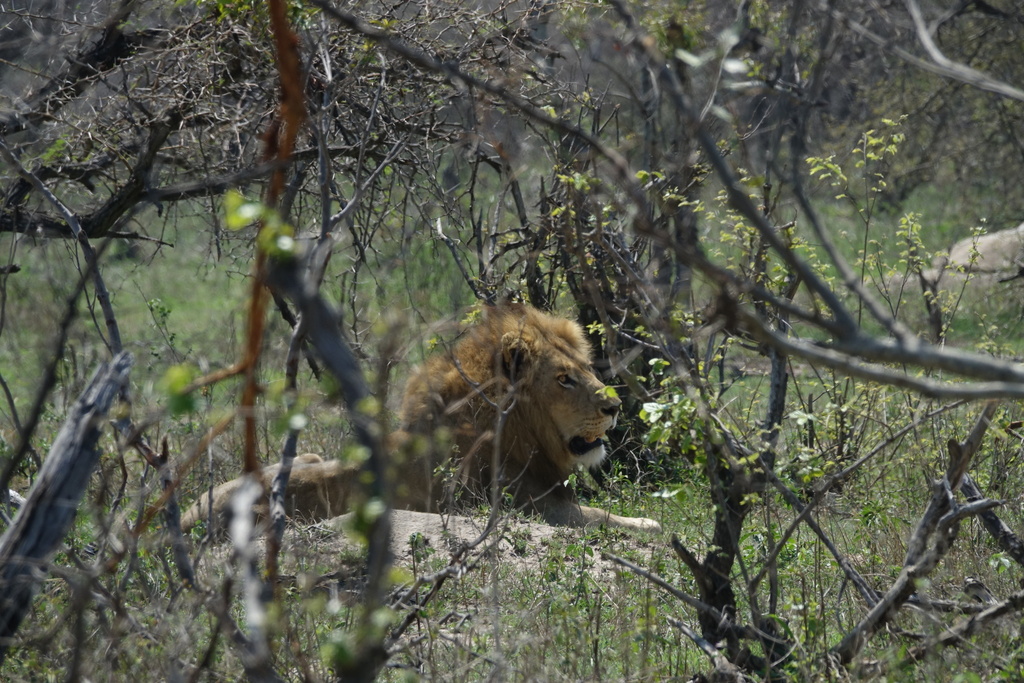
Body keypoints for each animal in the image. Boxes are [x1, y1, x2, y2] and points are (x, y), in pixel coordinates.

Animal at [180, 303, 660, 535]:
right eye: (564, 379)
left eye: (587, 368)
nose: (614, 408)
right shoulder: (533, 507)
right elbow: (604, 517)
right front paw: (651, 523)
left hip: (309, 455)